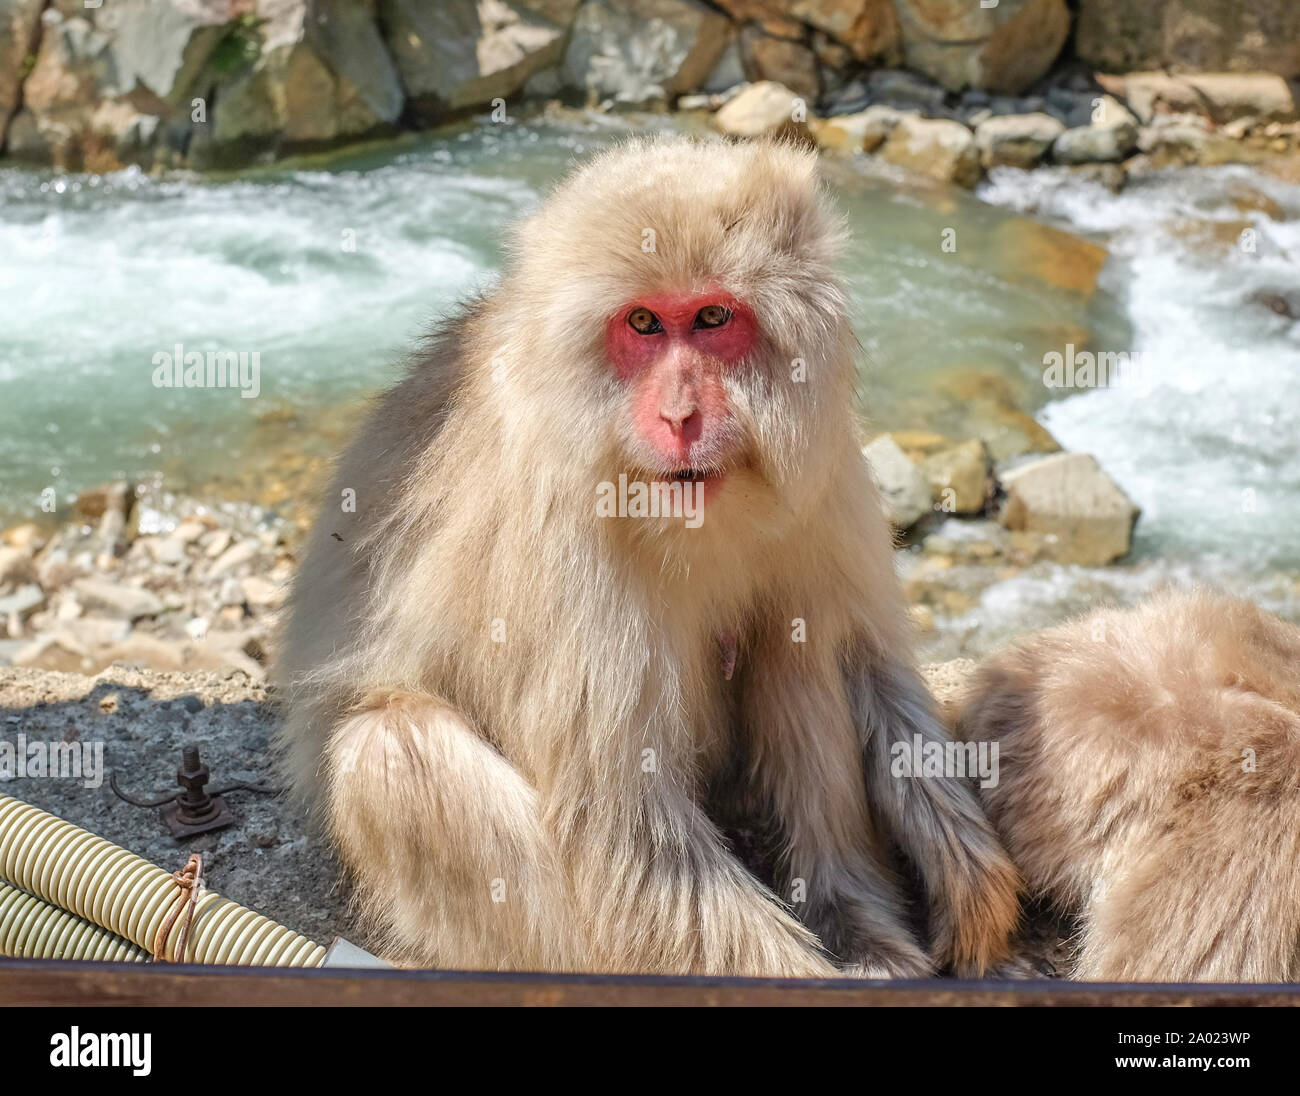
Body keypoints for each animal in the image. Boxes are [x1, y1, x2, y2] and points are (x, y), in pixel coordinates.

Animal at [274, 136, 1020, 978]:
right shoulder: (562, 539)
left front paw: (964, 869)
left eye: (713, 316)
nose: (680, 415)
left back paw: (855, 920)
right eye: (642, 323)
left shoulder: (823, 470)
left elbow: (870, 662)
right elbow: (623, 825)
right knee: (392, 750)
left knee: (797, 640)